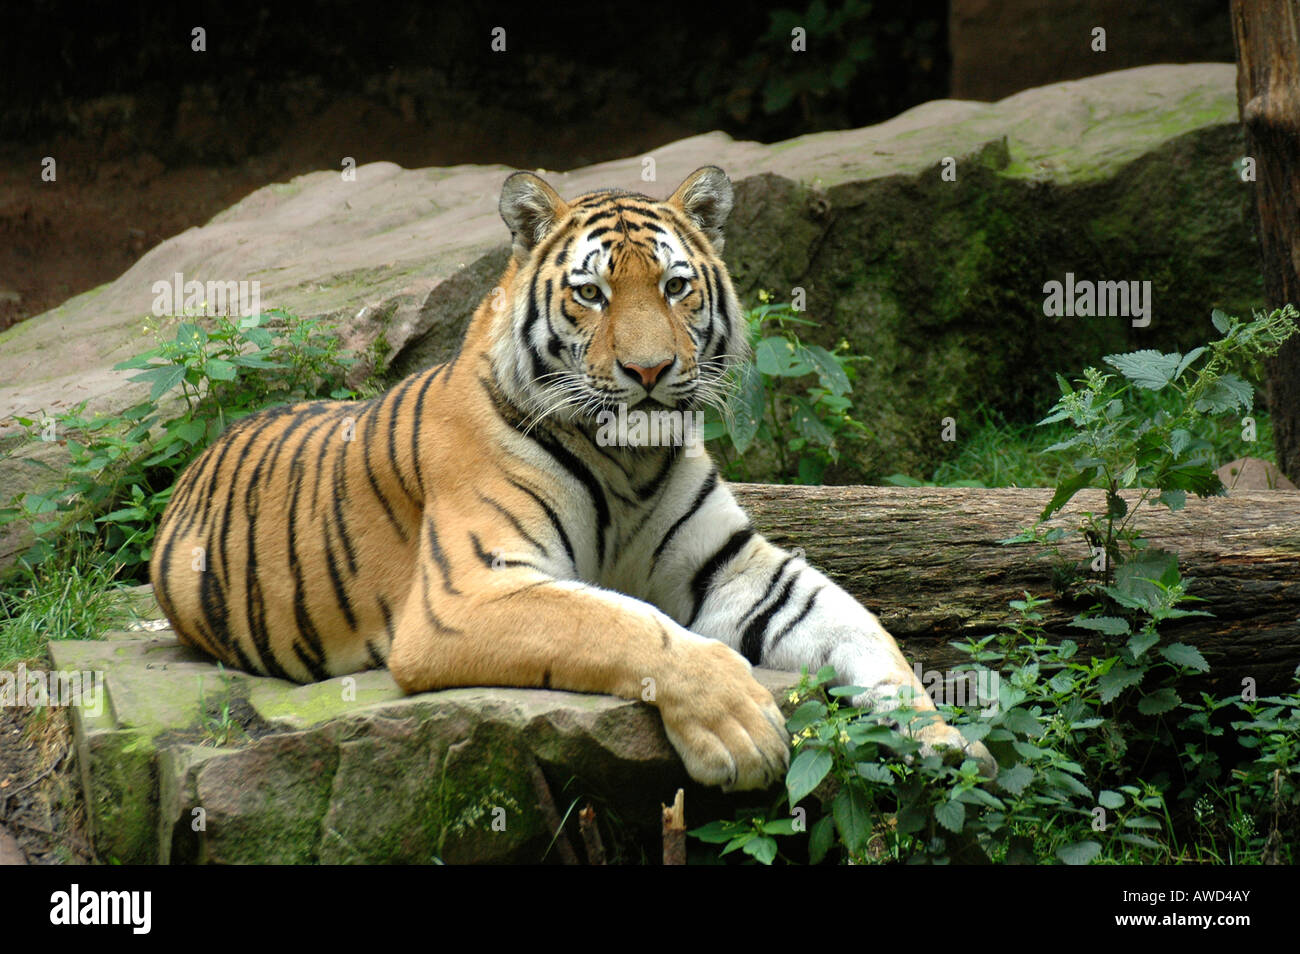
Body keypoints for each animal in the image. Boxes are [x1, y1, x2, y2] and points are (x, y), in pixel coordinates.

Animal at [150, 165, 995, 791]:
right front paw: (740, 728)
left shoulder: (738, 571)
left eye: (675, 286)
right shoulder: (468, 592)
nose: (650, 371)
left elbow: (864, 628)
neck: (632, 461)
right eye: (591, 292)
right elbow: (623, 622)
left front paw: (942, 738)